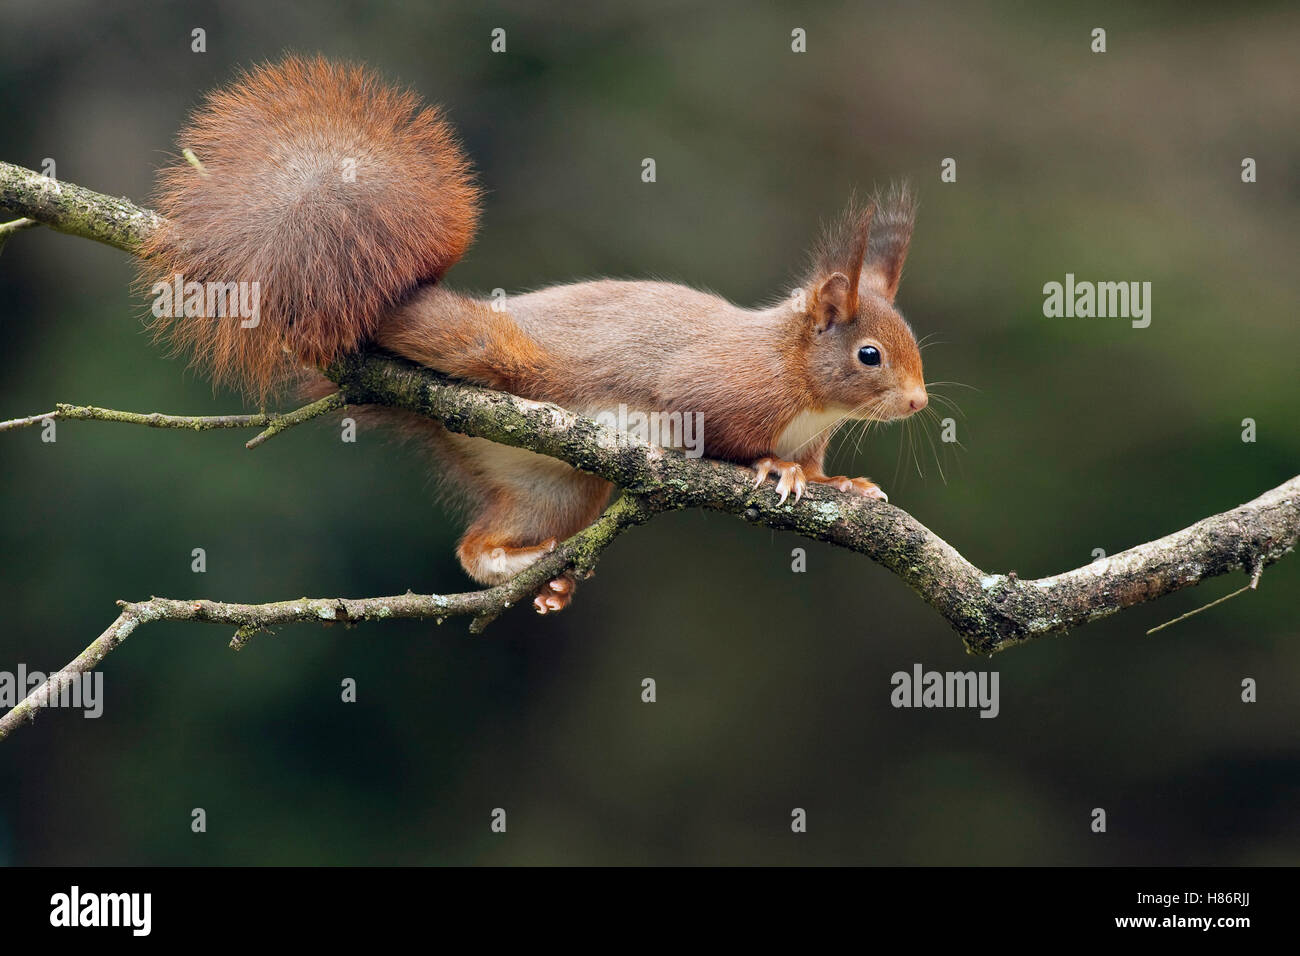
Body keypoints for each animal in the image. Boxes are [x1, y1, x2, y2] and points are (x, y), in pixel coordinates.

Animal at [140, 55, 929, 614]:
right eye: (869, 355)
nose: (921, 404)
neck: (802, 386)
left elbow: (821, 470)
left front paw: (838, 482)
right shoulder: (721, 386)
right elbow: (723, 431)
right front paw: (775, 469)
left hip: (558, 487)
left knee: (474, 547)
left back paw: (523, 568)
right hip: (493, 358)